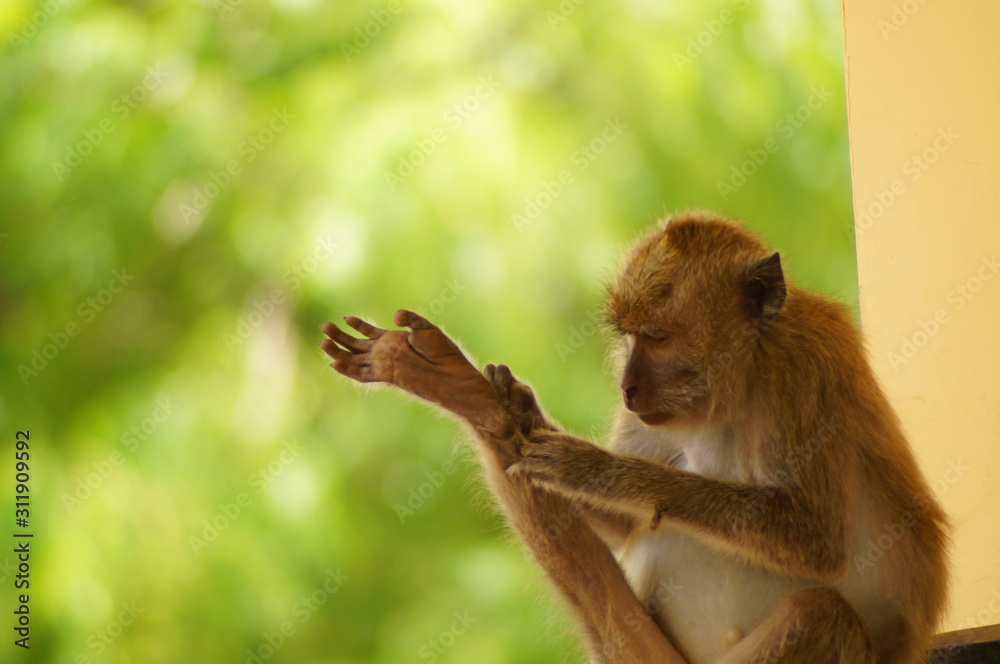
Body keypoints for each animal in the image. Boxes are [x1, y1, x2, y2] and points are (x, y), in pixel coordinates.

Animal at [321, 211, 948, 664]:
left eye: (658, 336)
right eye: (628, 337)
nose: (626, 387)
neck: (741, 380)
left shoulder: (805, 371)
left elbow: (817, 540)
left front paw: (601, 471)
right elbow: (626, 525)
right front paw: (517, 413)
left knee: (818, 614)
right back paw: (472, 401)